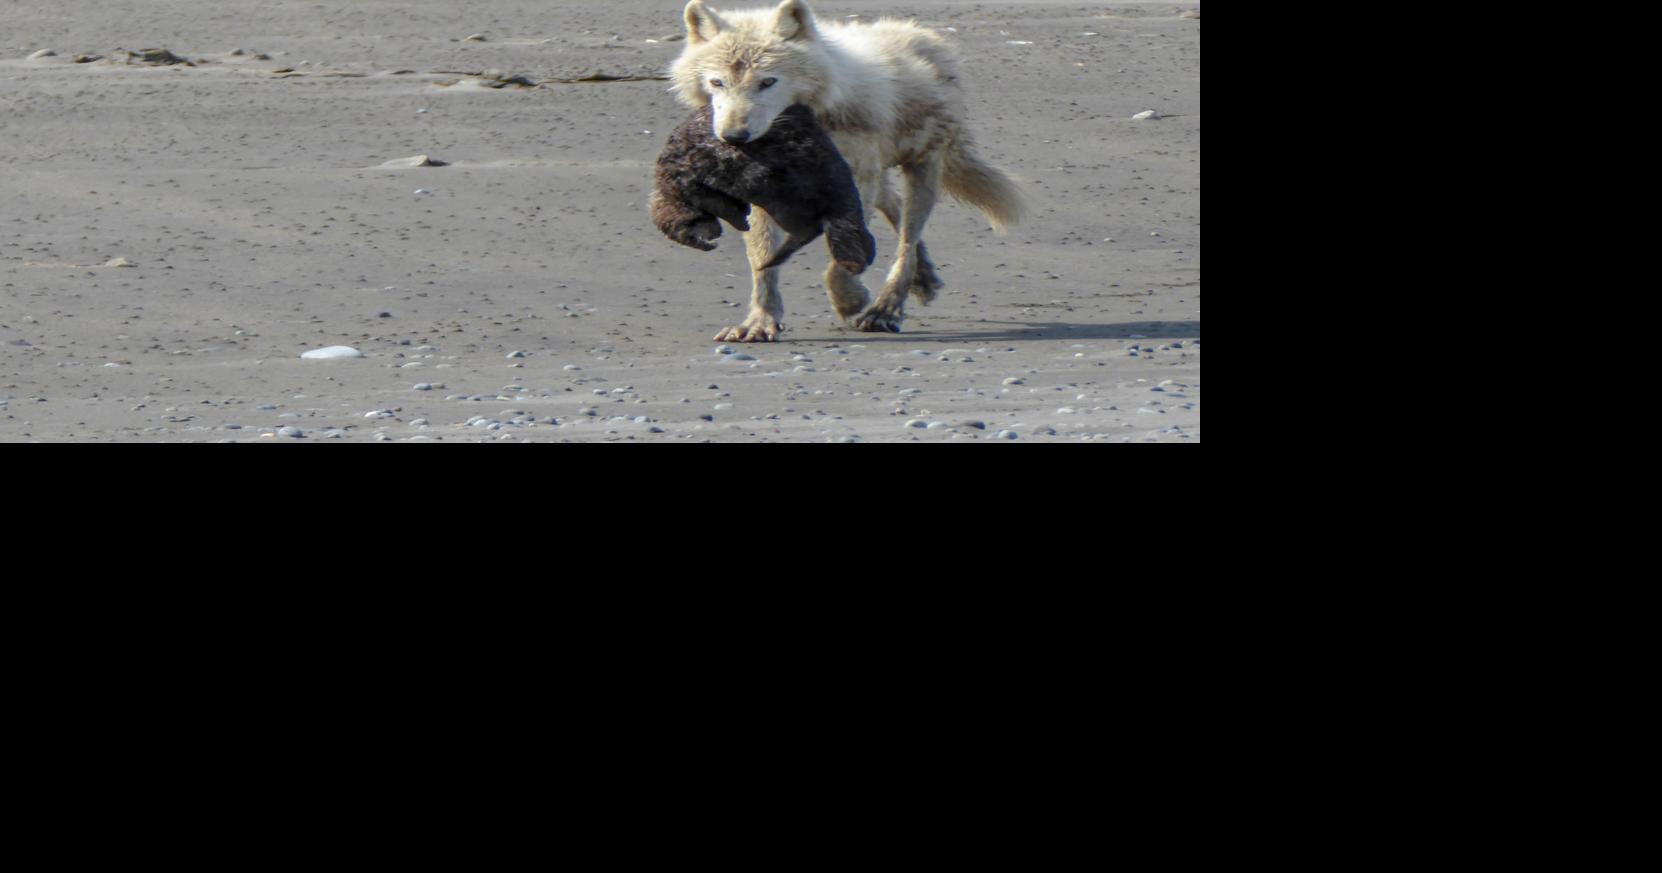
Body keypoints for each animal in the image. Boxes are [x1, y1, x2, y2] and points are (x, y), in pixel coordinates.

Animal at [669, 0, 1025, 341]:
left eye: (767, 82)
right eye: (717, 82)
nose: (733, 136)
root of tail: (924, 36)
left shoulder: (855, 182)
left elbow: (843, 258)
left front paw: (850, 300)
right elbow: (763, 262)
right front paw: (759, 322)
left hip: (922, 169)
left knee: (907, 240)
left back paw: (886, 308)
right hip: (885, 176)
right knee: (896, 212)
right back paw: (923, 280)